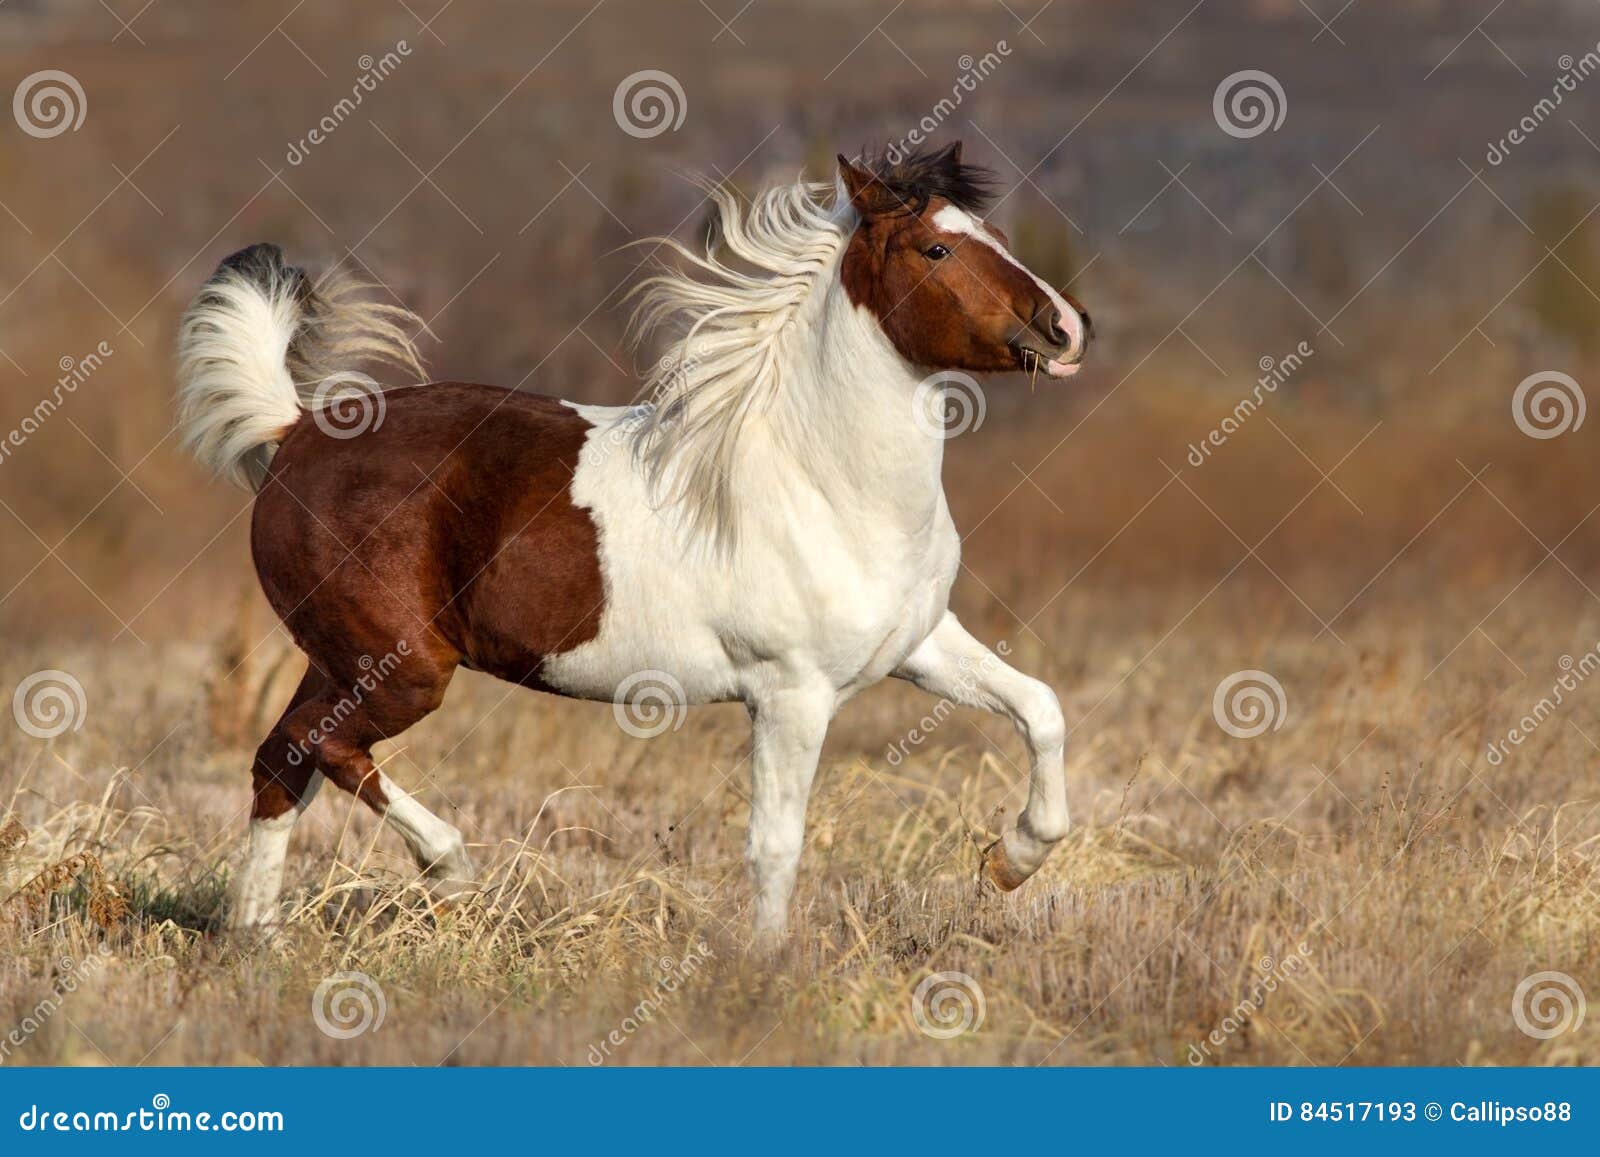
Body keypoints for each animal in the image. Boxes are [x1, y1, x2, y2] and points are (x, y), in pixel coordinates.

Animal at [175, 141, 1091, 944]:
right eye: (936, 247)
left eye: (998, 236)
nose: (1067, 329)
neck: (824, 481)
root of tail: (295, 431)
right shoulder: (791, 693)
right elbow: (776, 846)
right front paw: (766, 973)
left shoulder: (920, 645)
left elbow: (1042, 708)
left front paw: (1009, 862)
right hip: (402, 667)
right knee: (320, 746)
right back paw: (451, 869)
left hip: (338, 659)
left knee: (279, 763)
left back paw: (257, 939)